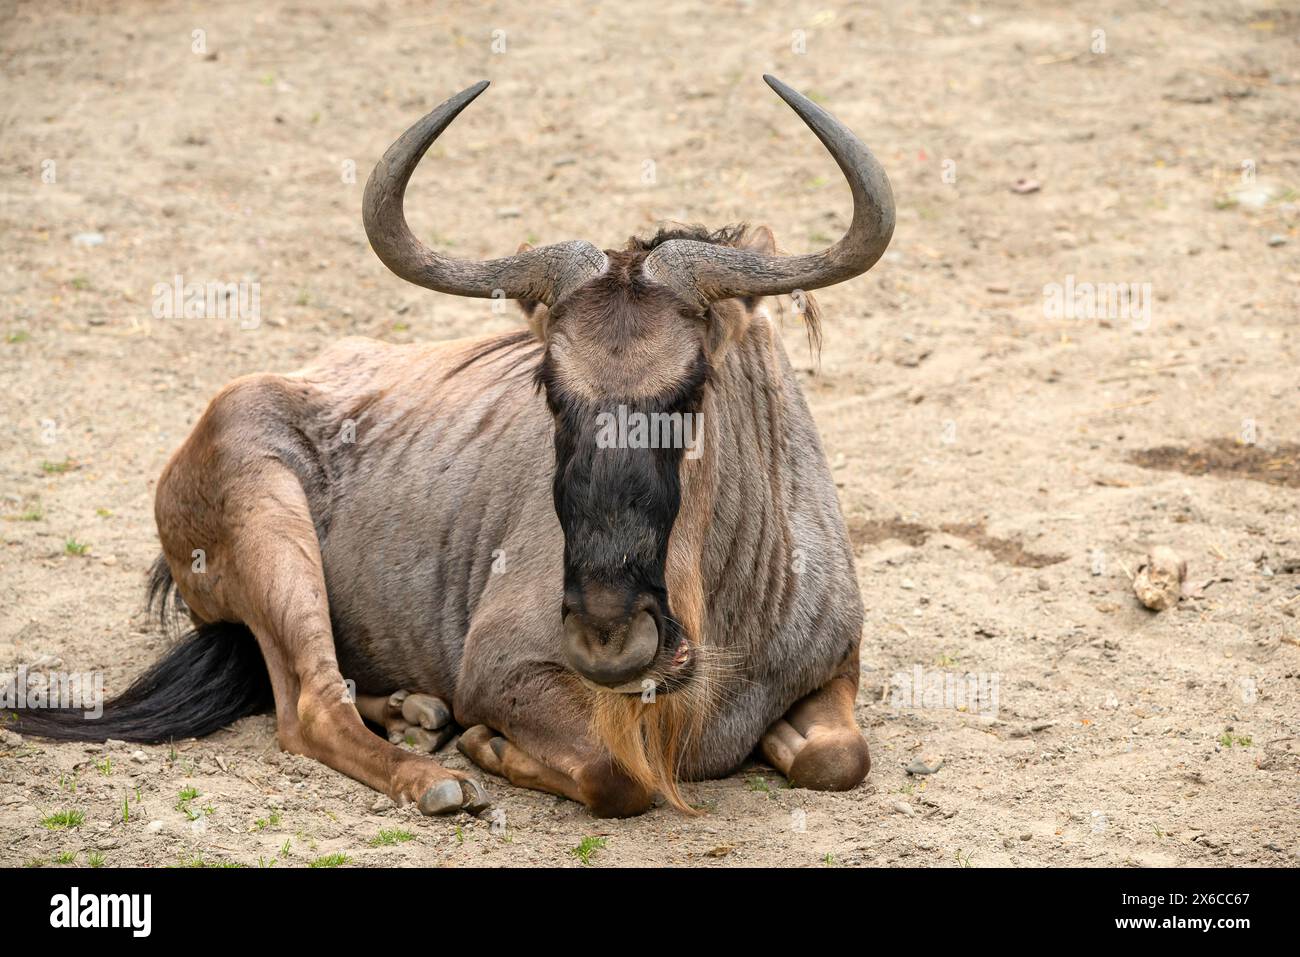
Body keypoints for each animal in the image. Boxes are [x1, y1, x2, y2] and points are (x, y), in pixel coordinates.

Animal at [16, 75, 894, 818]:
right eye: (549, 390)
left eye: (690, 392)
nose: (606, 634)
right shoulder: (502, 670)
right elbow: (619, 774)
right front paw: (485, 746)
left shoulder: (839, 664)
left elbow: (839, 757)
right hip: (270, 529)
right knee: (310, 705)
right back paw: (432, 772)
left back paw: (413, 709)